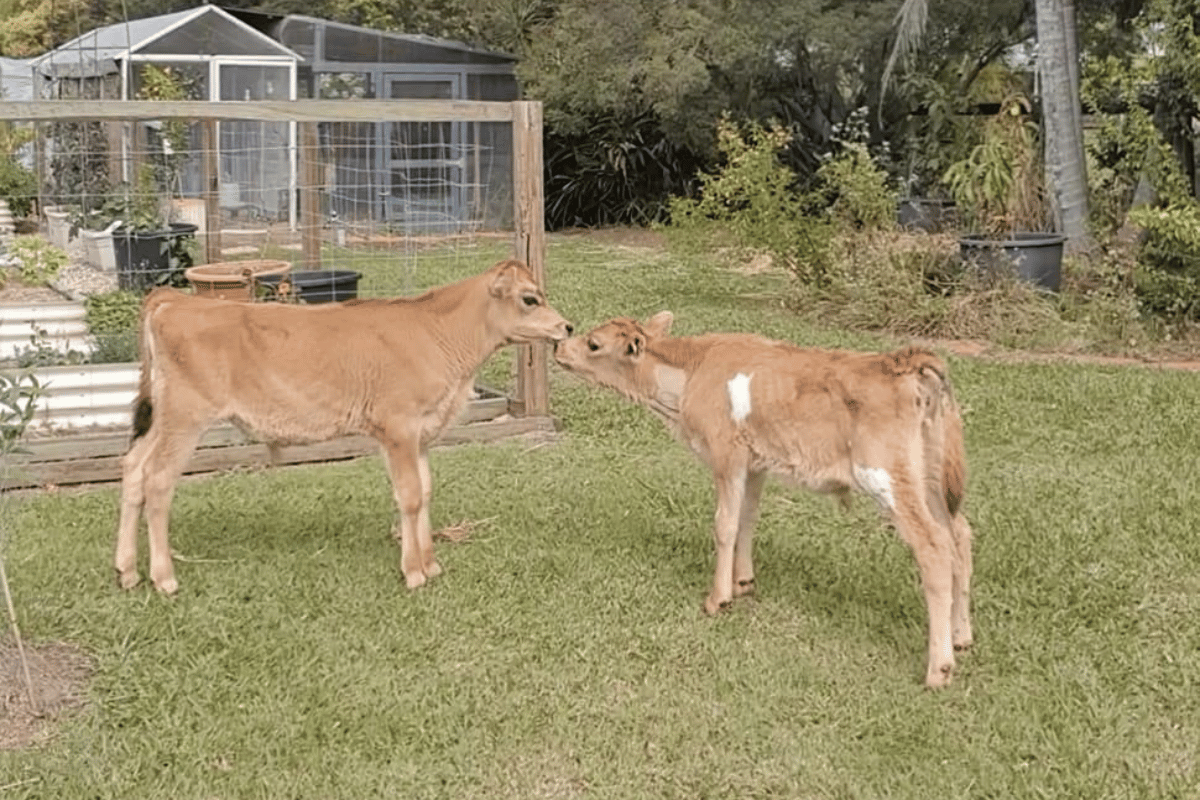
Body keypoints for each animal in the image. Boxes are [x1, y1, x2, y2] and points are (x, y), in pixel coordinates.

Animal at [115, 259, 573, 595]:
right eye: (530, 298)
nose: (566, 326)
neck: (438, 334)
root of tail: (174, 301)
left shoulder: (421, 434)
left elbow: (425, 492)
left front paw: (431, 563)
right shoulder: (398, 427)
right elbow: (409, 497)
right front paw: (413, 572)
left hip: (162, 418)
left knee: (134, 468)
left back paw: (127, 571)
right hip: (185, 416)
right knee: (158, 480)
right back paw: (164, 578)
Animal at [554, 312, 973, 687]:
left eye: (594, 344)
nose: (559, 344)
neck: (690, 373)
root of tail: (904, 361)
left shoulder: (727, 453)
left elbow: (724, 524)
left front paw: (718, 599)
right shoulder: (755, 463)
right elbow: (747, 519)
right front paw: (743, 582)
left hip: (887, 476)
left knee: (934, 546)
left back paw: (938, 669)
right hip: (932, 479)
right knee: (960, 535)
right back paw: (962, 636)